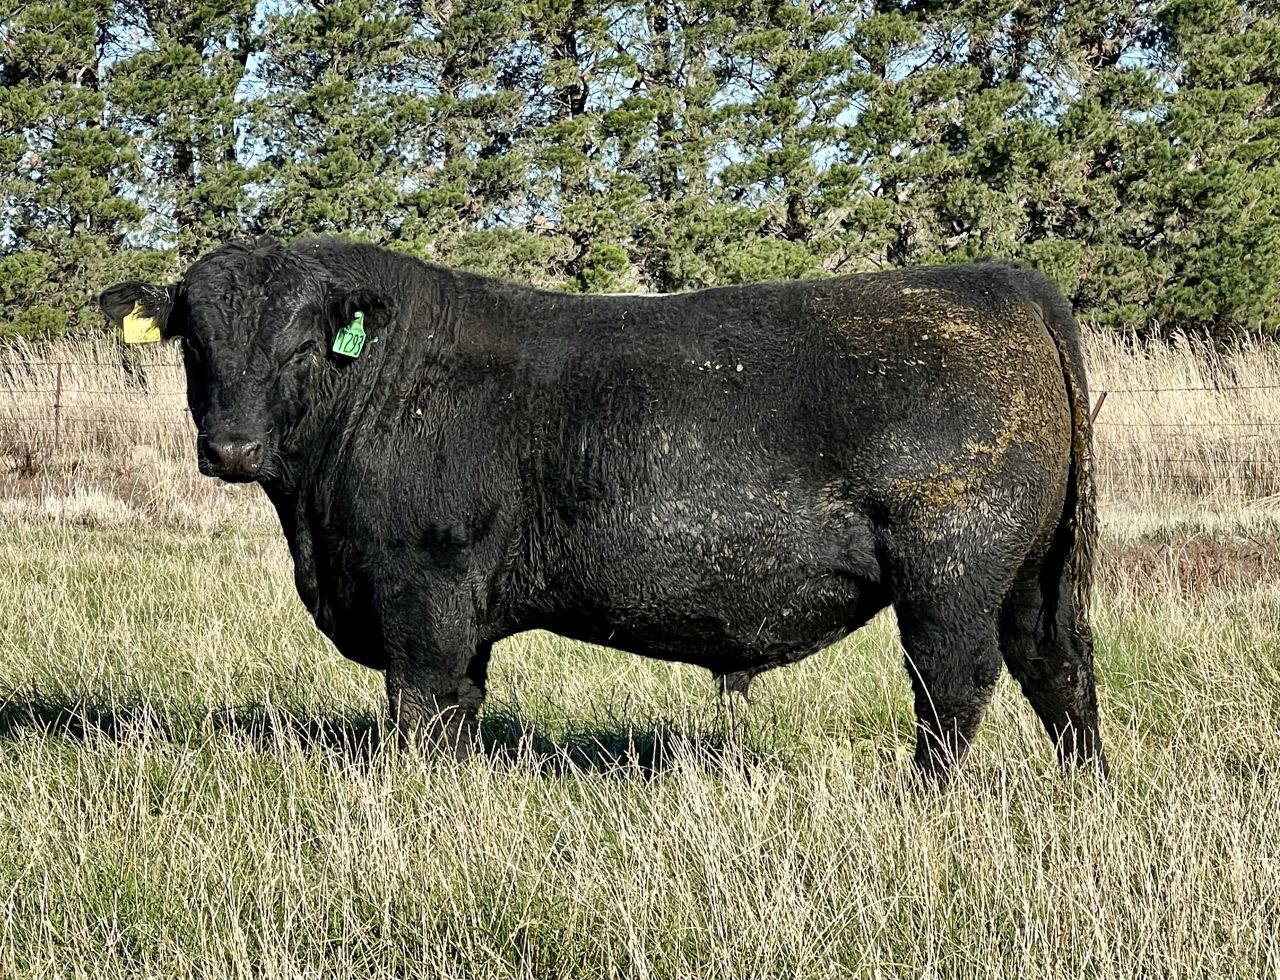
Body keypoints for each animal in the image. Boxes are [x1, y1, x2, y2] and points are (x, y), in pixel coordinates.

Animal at [99, 237, 1105, 779]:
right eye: (193, 341)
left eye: (305, 343)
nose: (232, 449)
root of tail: (1001, 280)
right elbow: (462, 705)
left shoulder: (422, 583)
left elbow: (421, 705)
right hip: (1032, 571)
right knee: (1058, 668)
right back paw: (1081, 795)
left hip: (950, 567)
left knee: (953, 683)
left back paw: (922, 799)